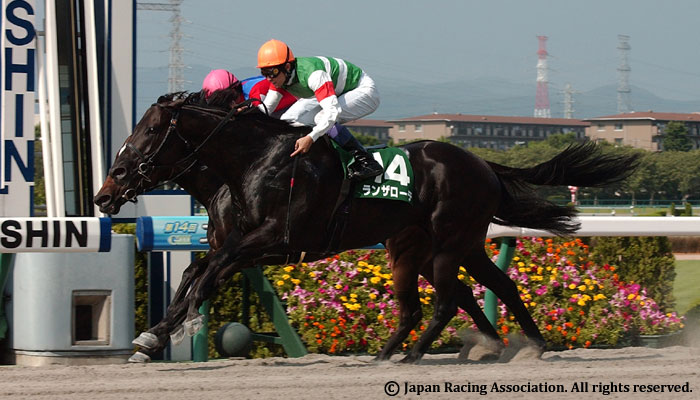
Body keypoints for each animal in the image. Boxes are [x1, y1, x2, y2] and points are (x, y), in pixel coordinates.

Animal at [96, 92, 639, 362]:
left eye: (149, 130)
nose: (106, 191)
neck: (257, 161)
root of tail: (483, 163)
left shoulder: (272, 240)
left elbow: (208, 273)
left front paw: (171, 327)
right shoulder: (252, 246)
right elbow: (199, 271)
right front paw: (154, 335)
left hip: (448, 242)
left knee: (447, 300)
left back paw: (416, 354)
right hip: (445, 246)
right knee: (491, 286)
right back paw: (521, 348)